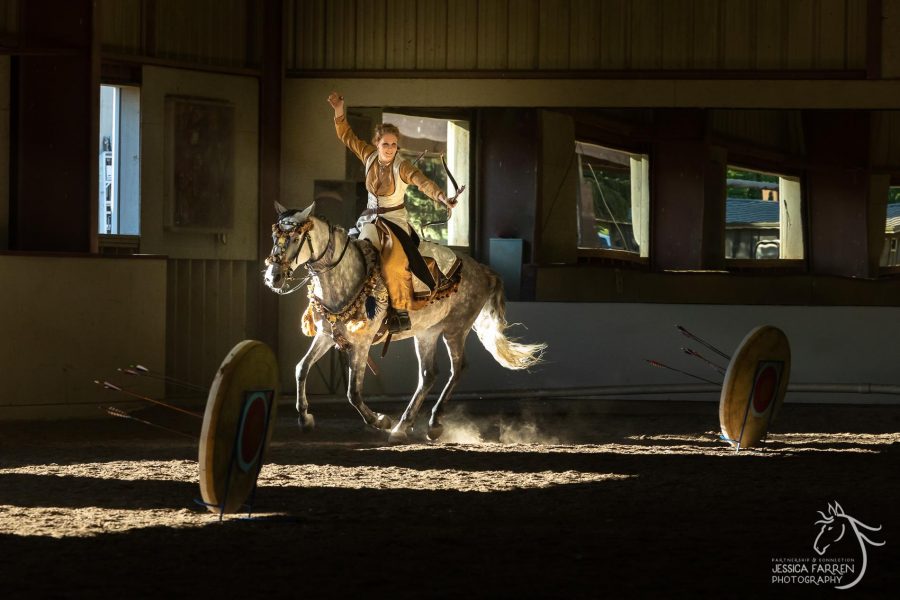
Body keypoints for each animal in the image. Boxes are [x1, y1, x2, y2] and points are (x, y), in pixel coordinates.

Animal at [263, 201, 546, 443]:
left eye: (296, 238)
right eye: (275, 238)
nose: (273, 277)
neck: (346, 275)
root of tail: (483, 270)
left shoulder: (362, 343)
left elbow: (353, 393)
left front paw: (380, 421)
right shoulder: (326, 335)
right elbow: (301, 369)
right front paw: (305, 419)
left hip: (455, 330)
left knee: (457, 369)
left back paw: (431, 424)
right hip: (426, 333)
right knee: (428, 374)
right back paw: (404, 425)